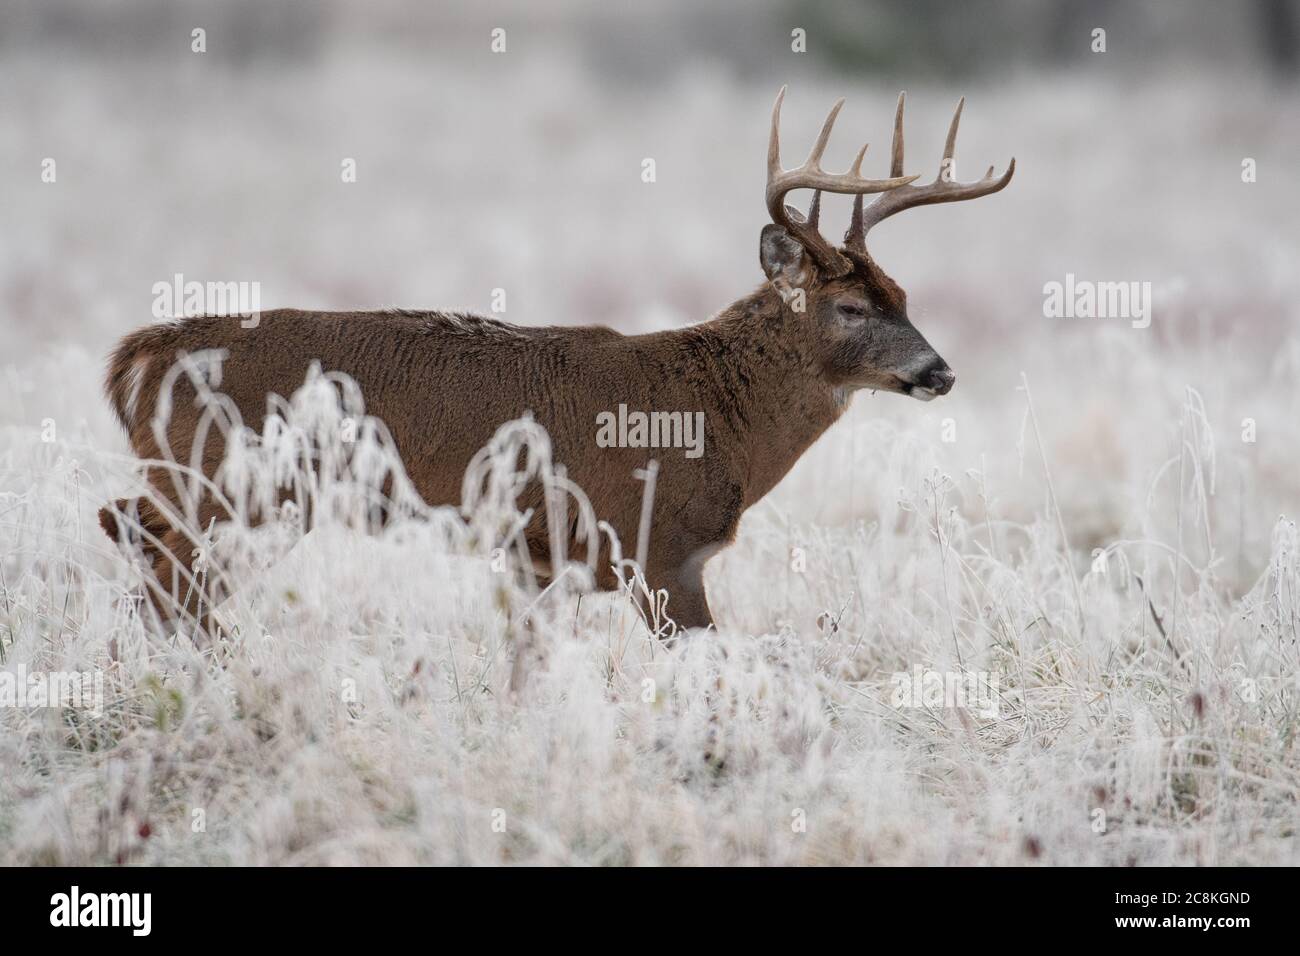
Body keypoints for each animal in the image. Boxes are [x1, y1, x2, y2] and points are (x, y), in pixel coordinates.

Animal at [99, 88, 1013, 638]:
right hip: (226, 483)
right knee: (156, 562)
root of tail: (139, 353)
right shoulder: (655, 548)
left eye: (905, 293)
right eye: (851, 307)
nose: (939, 372)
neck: (718, 418)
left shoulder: (541, 558)